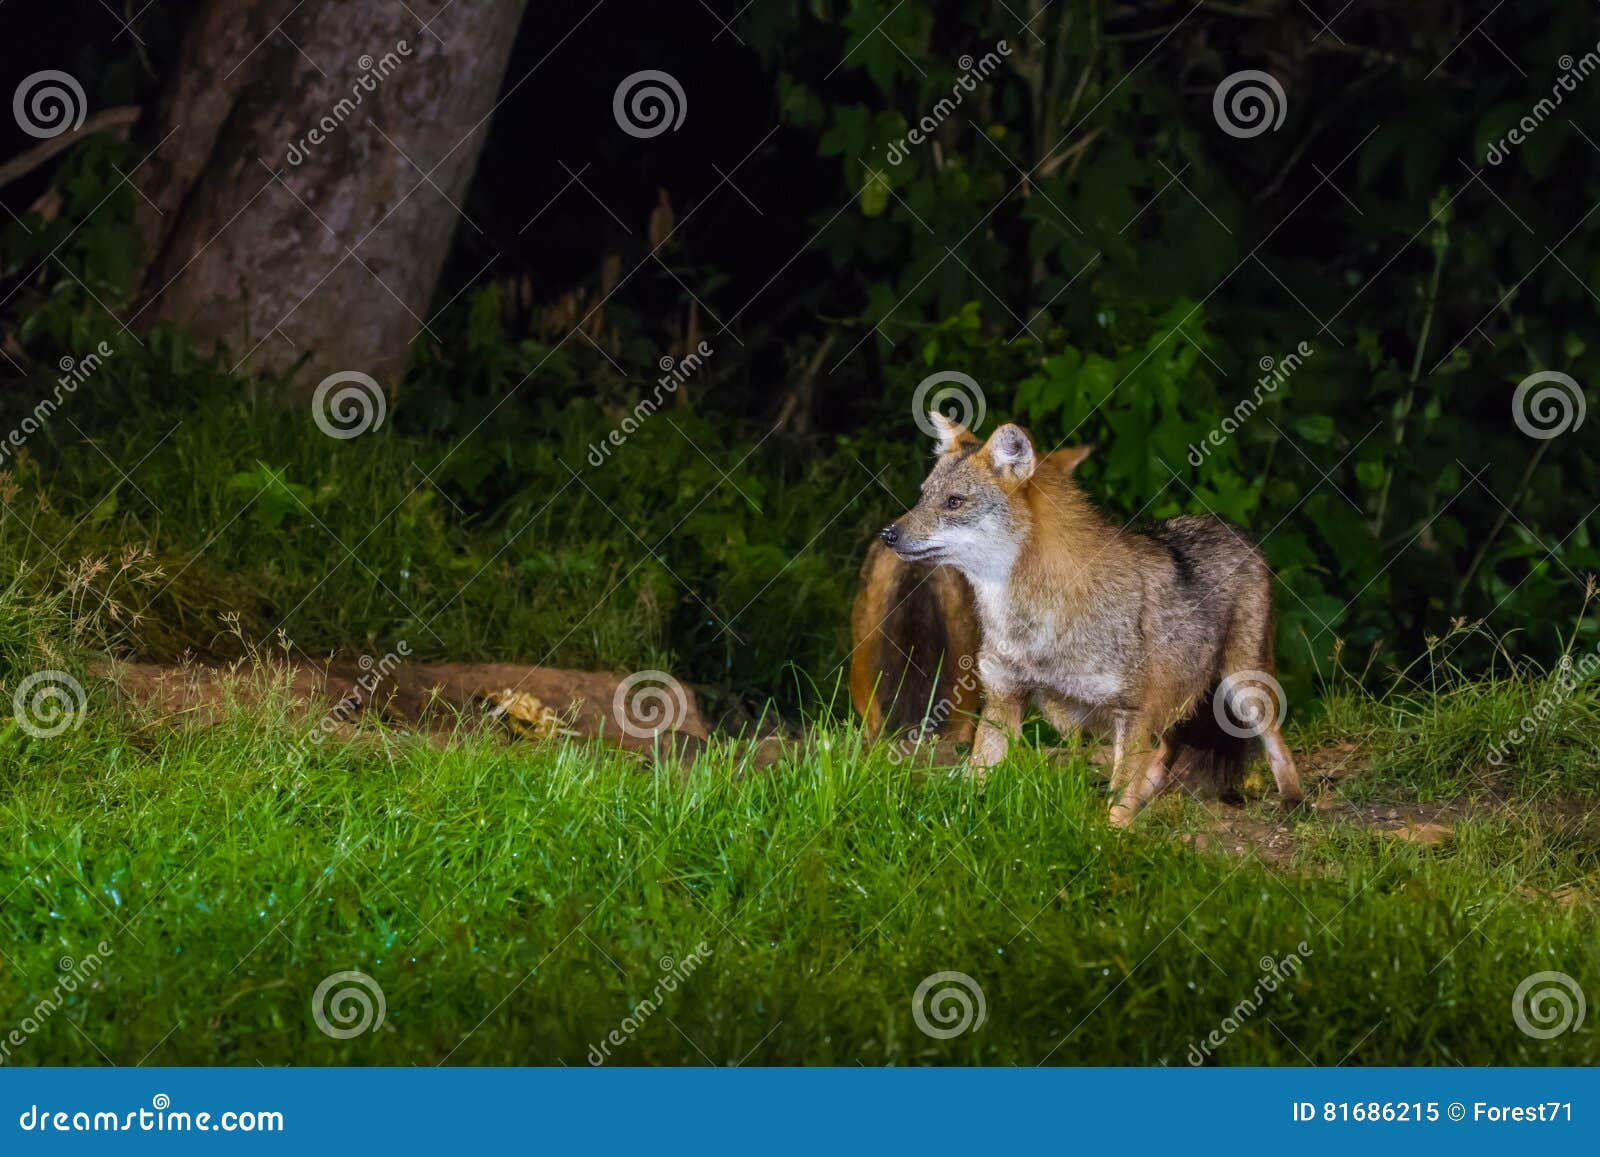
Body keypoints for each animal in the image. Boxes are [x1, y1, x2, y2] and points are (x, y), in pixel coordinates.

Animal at [877, 412, 1301, 827]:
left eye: (954, 501)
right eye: (923, 496)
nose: (887, 534)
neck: (1035, 622)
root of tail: (1231, 526)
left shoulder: (1132, 710)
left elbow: (1118, 801)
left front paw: (1111, 841)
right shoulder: (1002, 699)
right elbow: (973, 789)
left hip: (1242, 687)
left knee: (1274, 741)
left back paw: (1294, 801)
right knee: (1164, 751)